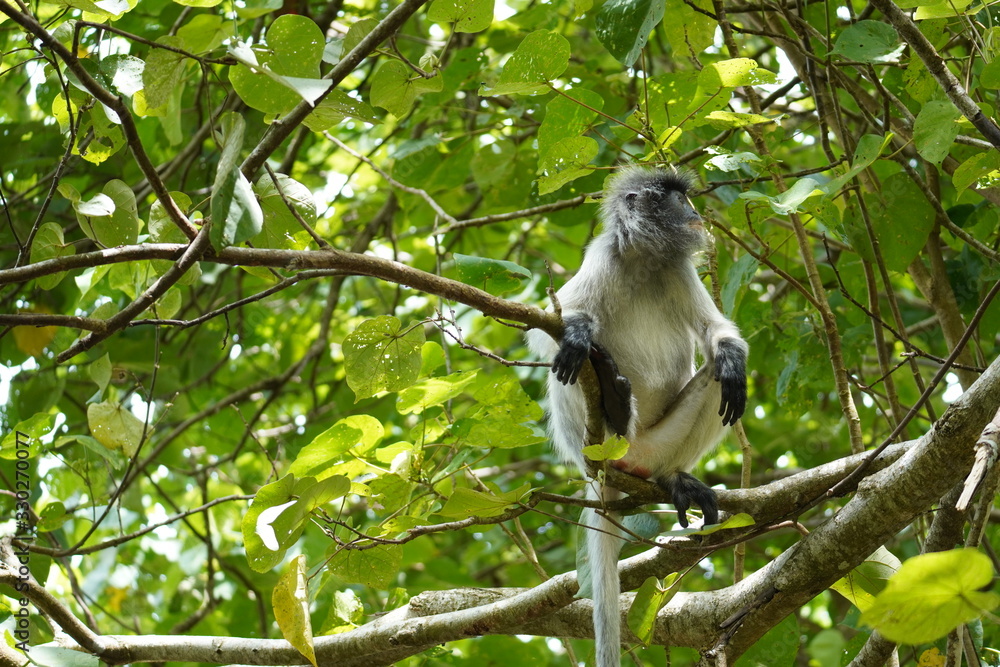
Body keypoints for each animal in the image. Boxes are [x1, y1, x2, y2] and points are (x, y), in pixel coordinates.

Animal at [527, 165, 748, 667]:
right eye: (676, 200)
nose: (694, 212)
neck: (645, 261)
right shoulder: (603, 258)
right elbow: (547, 337)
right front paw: (577, 331)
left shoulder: (678, 269)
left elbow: (715, 333)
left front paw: (731, 356)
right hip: (593, 440)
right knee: (577, 368)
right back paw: (611, 400)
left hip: (661, 443)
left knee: (719, 378)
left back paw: (672, 476)